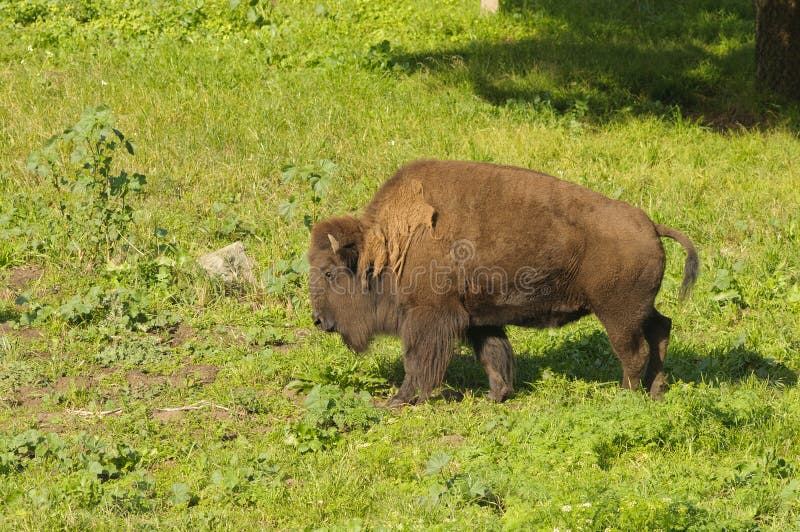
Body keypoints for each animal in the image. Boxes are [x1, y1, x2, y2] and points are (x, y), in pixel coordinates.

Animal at [308, 160, 698, 406]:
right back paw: (656, 391)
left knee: (634, 352)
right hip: (639, 309)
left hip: (617, 315)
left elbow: (417, 362)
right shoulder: (478, 319)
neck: (389, 247)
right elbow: (494, 356)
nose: (319, 320)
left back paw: (625, 396)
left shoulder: (428, 317)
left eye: (329, 272)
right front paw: (496, 395)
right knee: (661, 330)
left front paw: (398, 400)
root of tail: (651, 226)